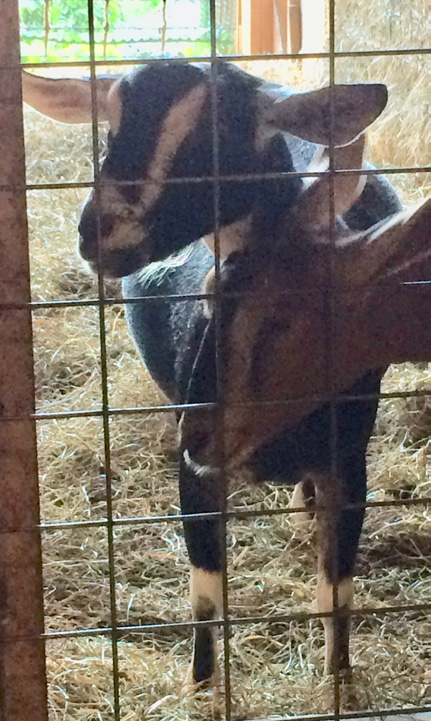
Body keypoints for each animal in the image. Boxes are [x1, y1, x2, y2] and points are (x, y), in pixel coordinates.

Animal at [23, 62, 401, 686]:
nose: (97, 233)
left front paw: (339, 678)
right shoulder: (196, 462)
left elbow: (337, 592)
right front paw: (202, 684)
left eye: (217, 141)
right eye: (109, 133)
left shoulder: (348, 461)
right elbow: (207, 593)